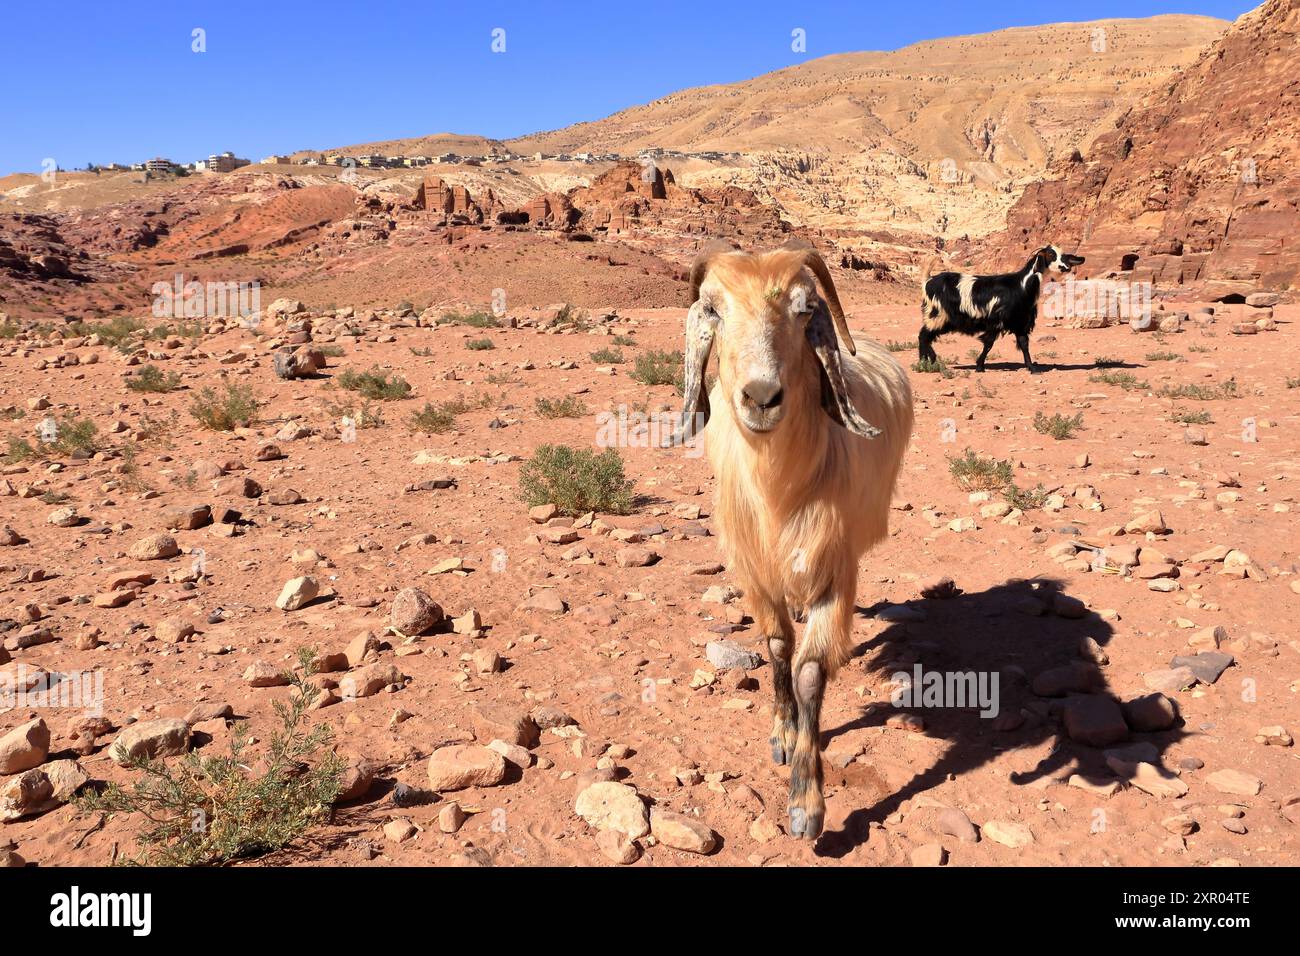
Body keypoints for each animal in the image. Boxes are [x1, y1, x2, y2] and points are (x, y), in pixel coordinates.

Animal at [667, 240, 913, 840]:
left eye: (805, 311)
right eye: (713, 310)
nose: (761, 397)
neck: (779, 495)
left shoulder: (836, 568)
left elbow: (809, 672)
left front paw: (806, 802)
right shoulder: (755, 570)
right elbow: (778, 646)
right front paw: (781, 733)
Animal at [917, 245, 1085, 373]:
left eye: (1063, 254)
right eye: (1051, 254)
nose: (1067, 267)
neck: (1021, 285)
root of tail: (928, 280)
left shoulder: (1021, 322)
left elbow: (1024, 344)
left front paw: (1032, 368)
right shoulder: (996, 321)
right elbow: (989, 343)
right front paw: (980, 366)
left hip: (943, 319)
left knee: (926, 337)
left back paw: (927, 360)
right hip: (937, 315)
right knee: (923, 336)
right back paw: (928, 361)